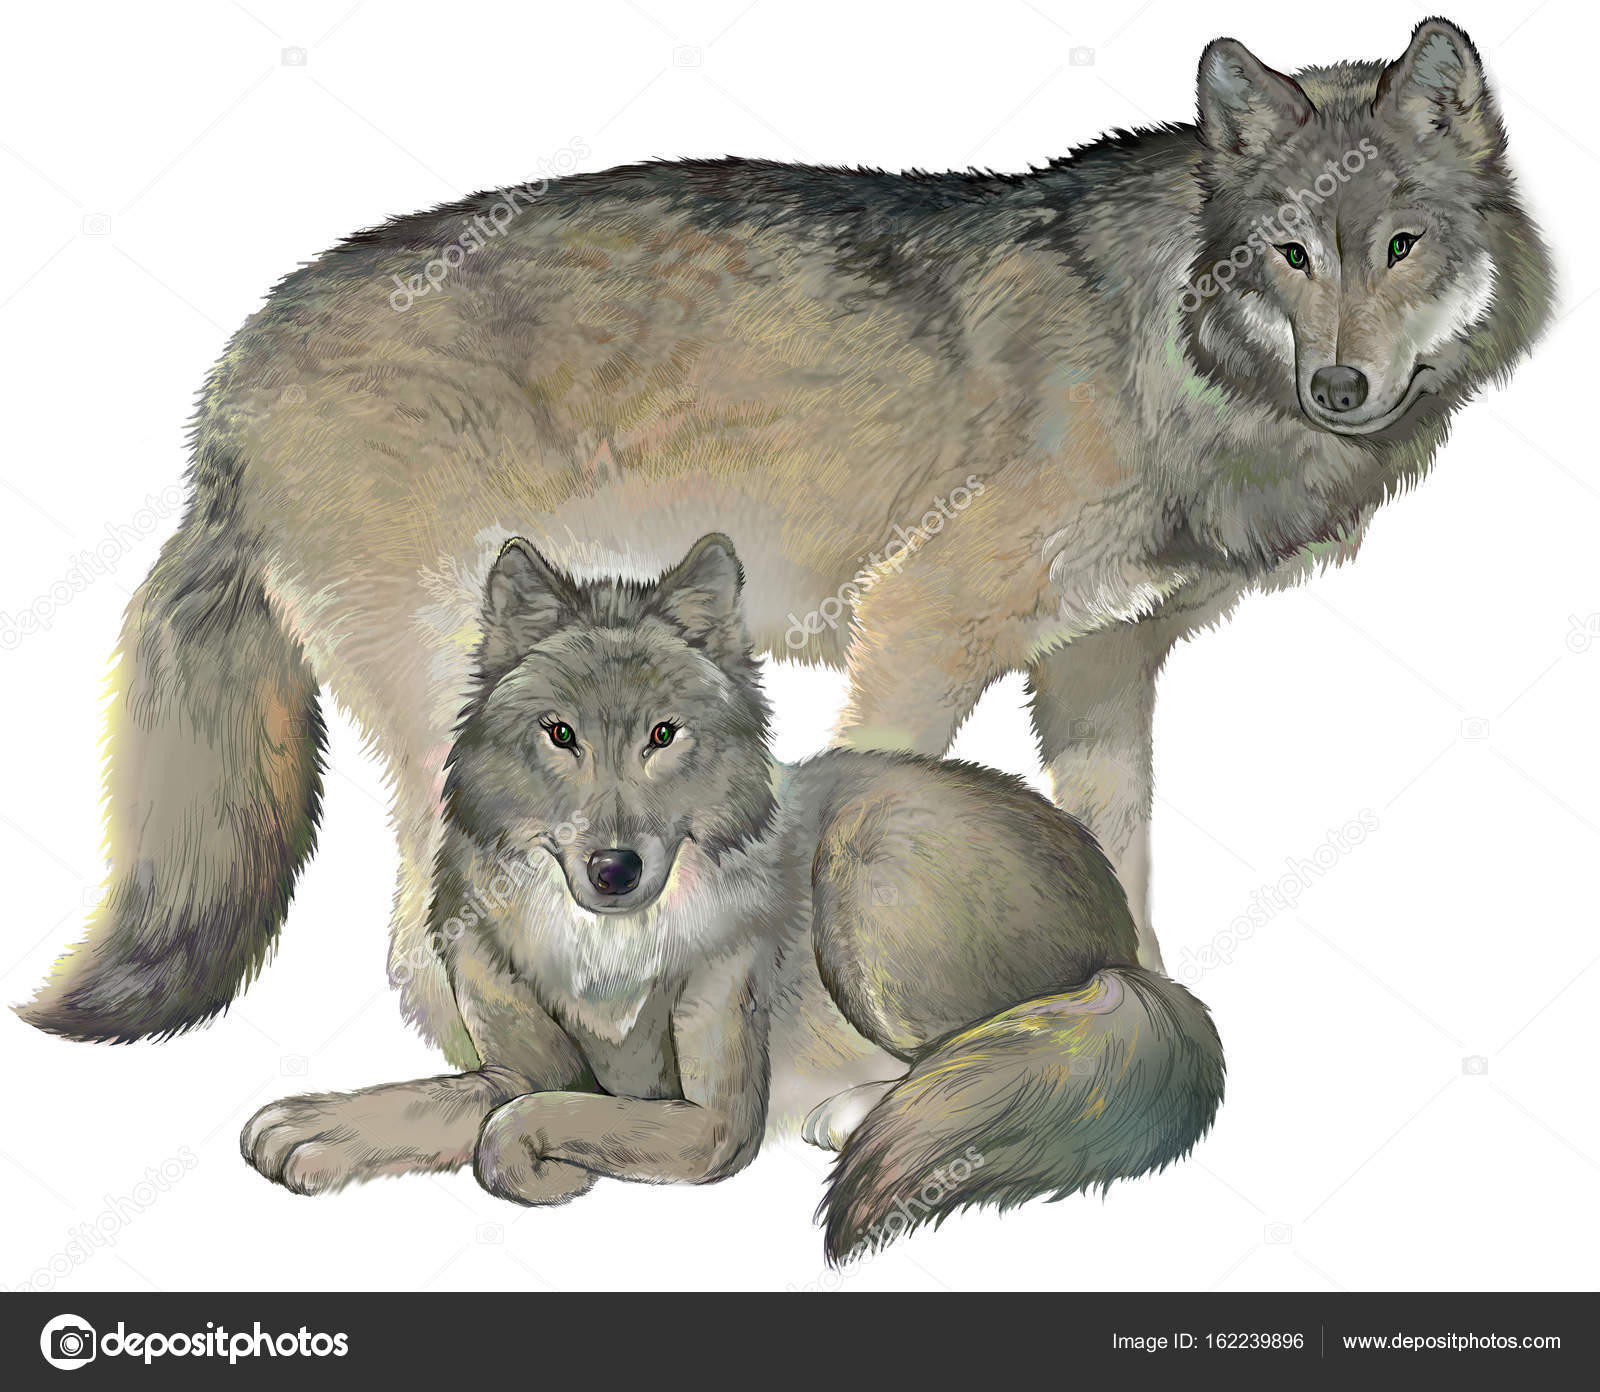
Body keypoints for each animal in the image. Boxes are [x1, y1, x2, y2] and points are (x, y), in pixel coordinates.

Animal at [21, 20, 1551, 1065]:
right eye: (1291, 254)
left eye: (1402, 245)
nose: (1341, 388)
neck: (1161, 356)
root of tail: (233, 364)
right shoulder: (920, 626)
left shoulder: (1101, 671)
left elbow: (1120, 864)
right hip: (469, 707)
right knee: (416, 942)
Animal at [240, 534, 1224, 1262]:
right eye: (560, 736)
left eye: (662, 736)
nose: (614, 868)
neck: (606, 954)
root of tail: (1129, 948)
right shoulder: (512, 1064)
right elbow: (445, 1097)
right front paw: (319, 1126)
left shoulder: (710, 1125)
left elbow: (515, 1124)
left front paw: (539, 1167)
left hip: (865, 876)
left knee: (1002, 1045)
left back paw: (869, 1111)